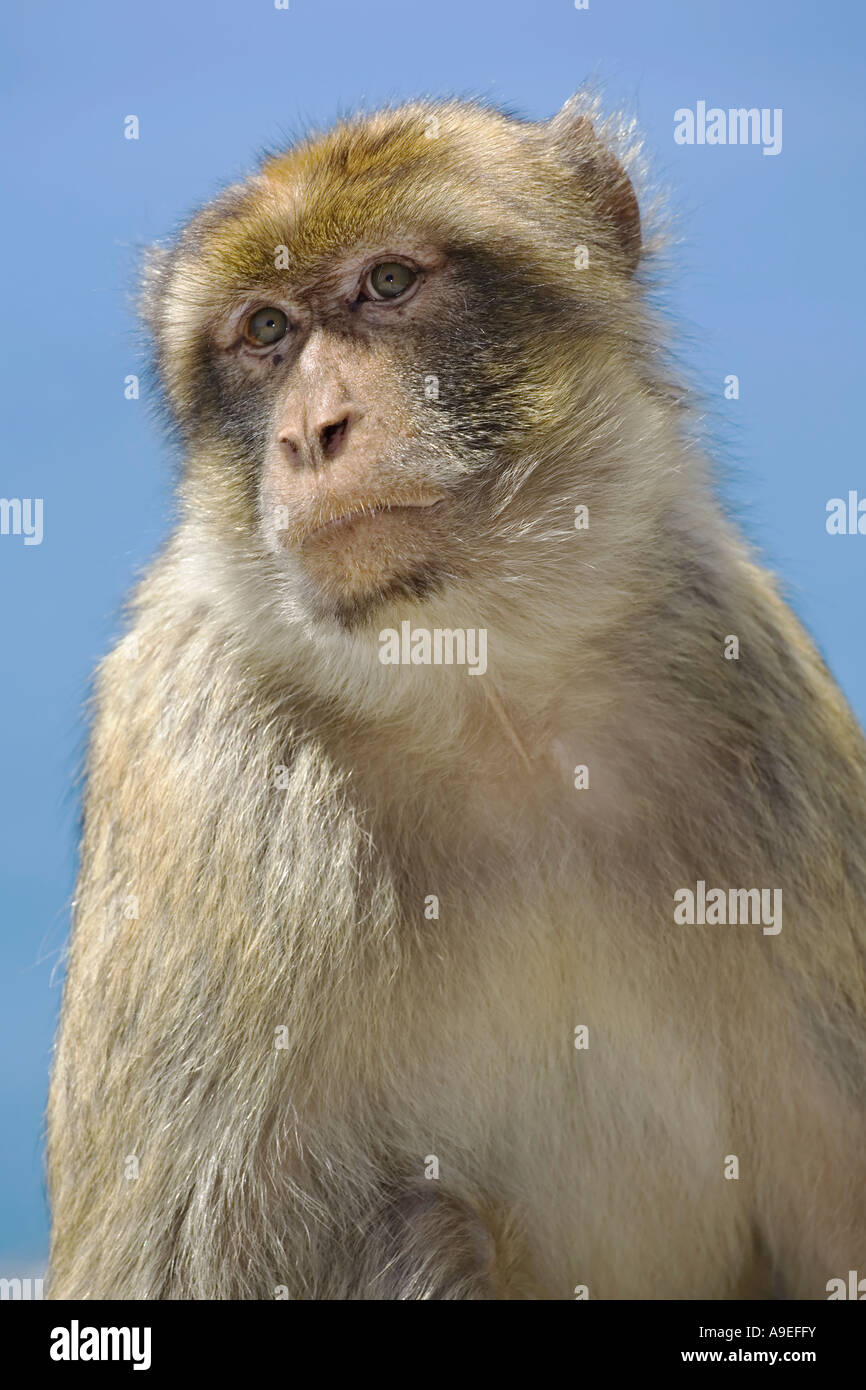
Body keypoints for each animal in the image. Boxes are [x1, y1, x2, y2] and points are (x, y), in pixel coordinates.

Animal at [46, 93, 866, 1301]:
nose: (308, 433)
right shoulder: (201, 761)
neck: (487, 697)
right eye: (265, 332)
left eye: (388, 282)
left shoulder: (755, 686)